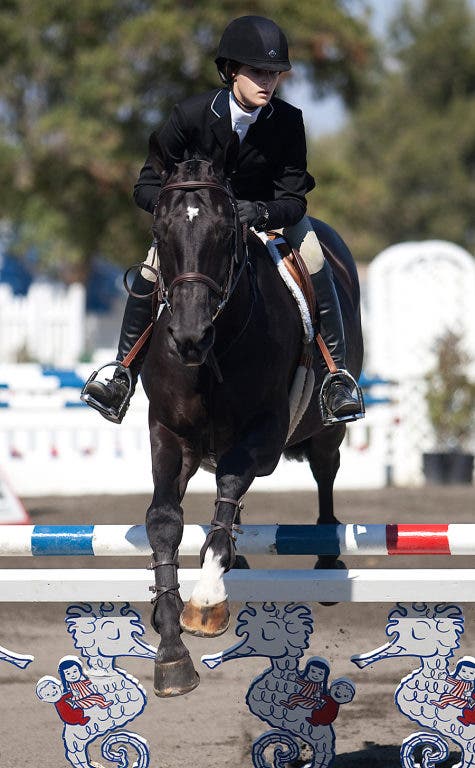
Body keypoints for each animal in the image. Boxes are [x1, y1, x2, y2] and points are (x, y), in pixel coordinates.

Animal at [140, 136, 364, 698]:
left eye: (226, 232)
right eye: (160, 233)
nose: (188, 338)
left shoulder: (264, 436)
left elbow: (229, 486)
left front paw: (206, 600)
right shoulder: (168, 432)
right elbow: (164, 521)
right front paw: (170, 646)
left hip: (325, 431)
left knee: (325, 475)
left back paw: (326, 558)